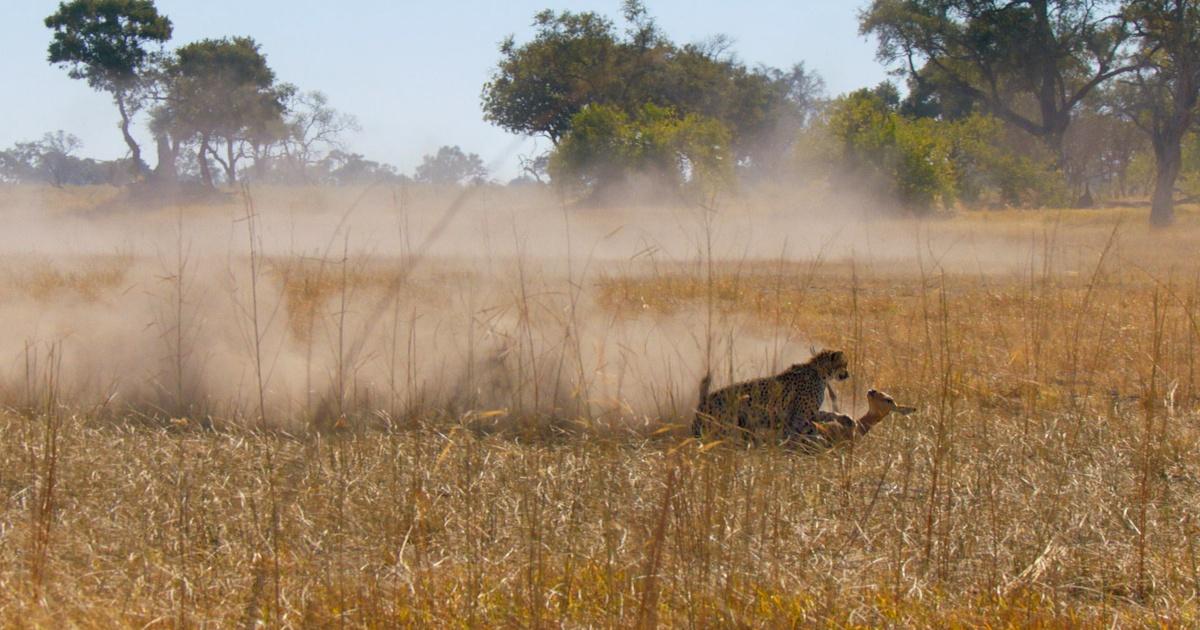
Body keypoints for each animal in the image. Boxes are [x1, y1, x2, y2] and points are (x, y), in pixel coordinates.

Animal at [692, 350, 850, 442]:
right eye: (845, 364)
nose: (848, 374)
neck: (820, 373)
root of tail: (703, 401)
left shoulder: (809, 414)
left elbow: (828, 414)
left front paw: (847, 419)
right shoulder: (799, 418)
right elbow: (812, 429)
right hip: (724, 428)